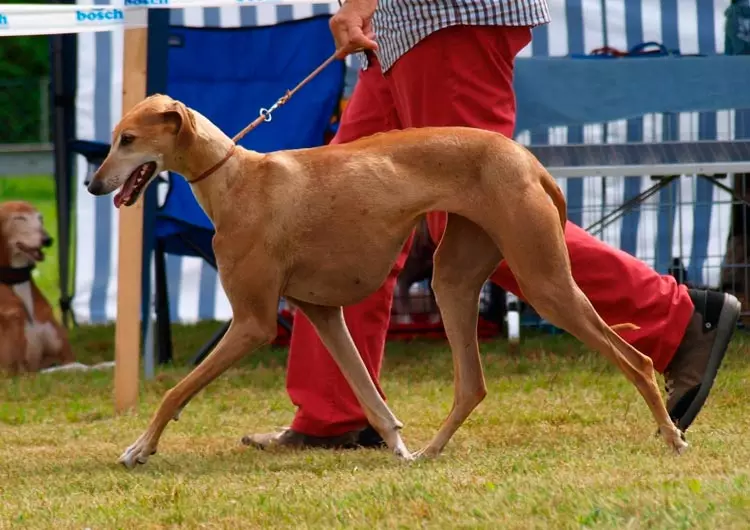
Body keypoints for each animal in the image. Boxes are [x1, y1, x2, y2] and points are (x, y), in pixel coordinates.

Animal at [86, 94, 688, 466]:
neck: (236, 177)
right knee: (473, 384)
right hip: (455, 280)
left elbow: (175, 391)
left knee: (636, 360)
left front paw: (139, 449)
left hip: (544, 280)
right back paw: (430, 452)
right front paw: (397, 448)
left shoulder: (253, 323)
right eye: (113, 138)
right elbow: (370, 397)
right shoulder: (323, 314)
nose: (93, 186)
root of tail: (527, 159)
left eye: (129, 139)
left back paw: (672, 435)